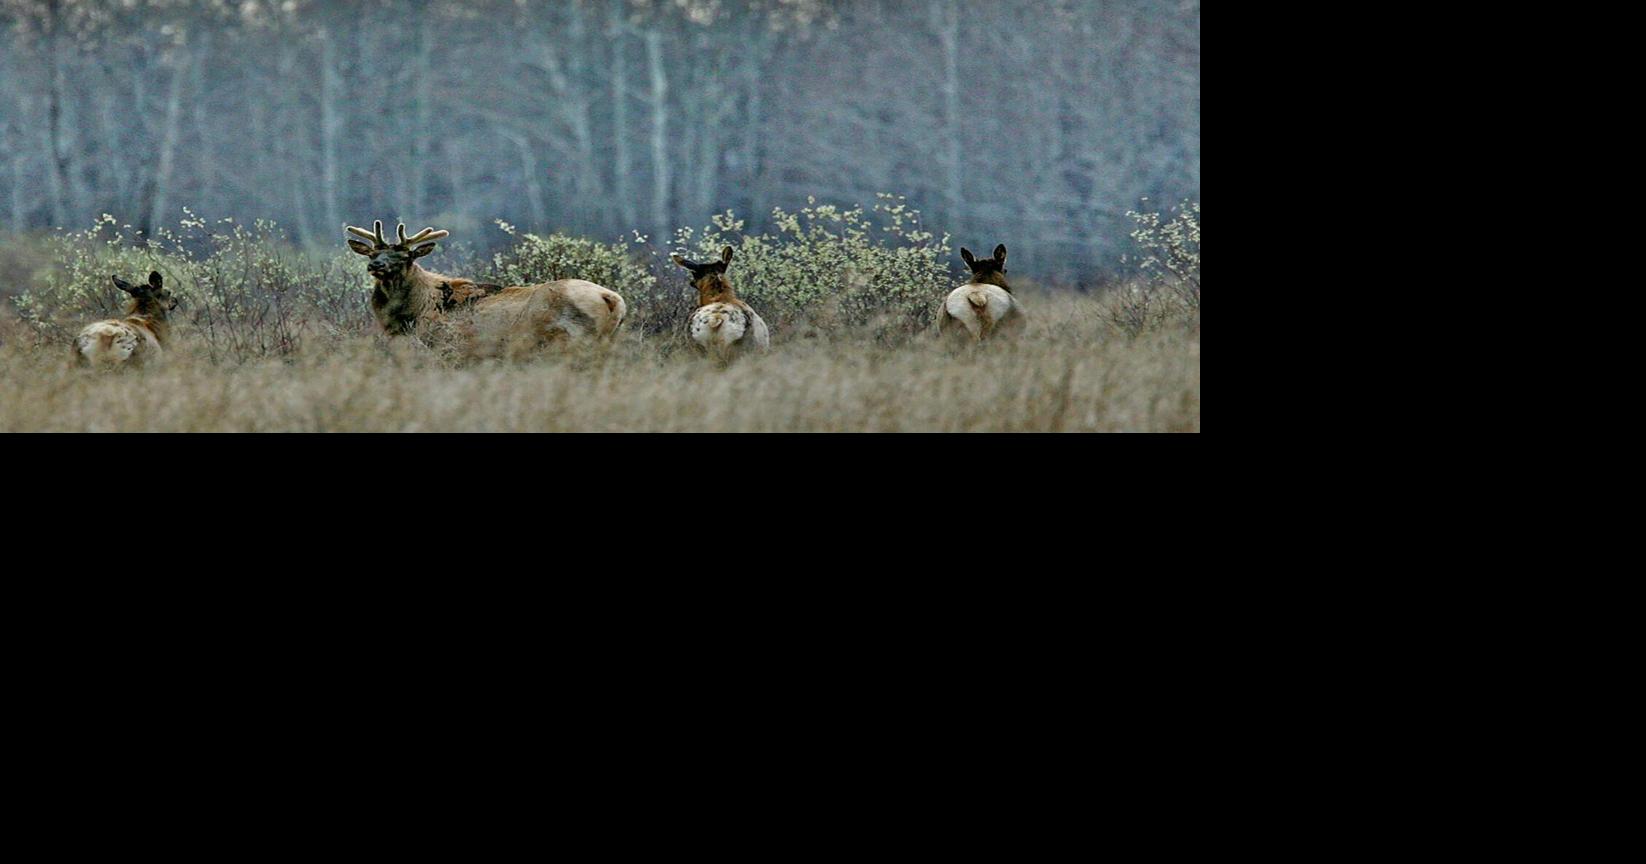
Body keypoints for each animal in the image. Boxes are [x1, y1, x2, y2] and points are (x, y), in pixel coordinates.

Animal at [345, 221, 626, 358]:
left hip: (576, 338)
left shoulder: (447, 343)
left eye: (405, 256)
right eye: (372, 252)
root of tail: (613, 298)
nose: (376, 264)